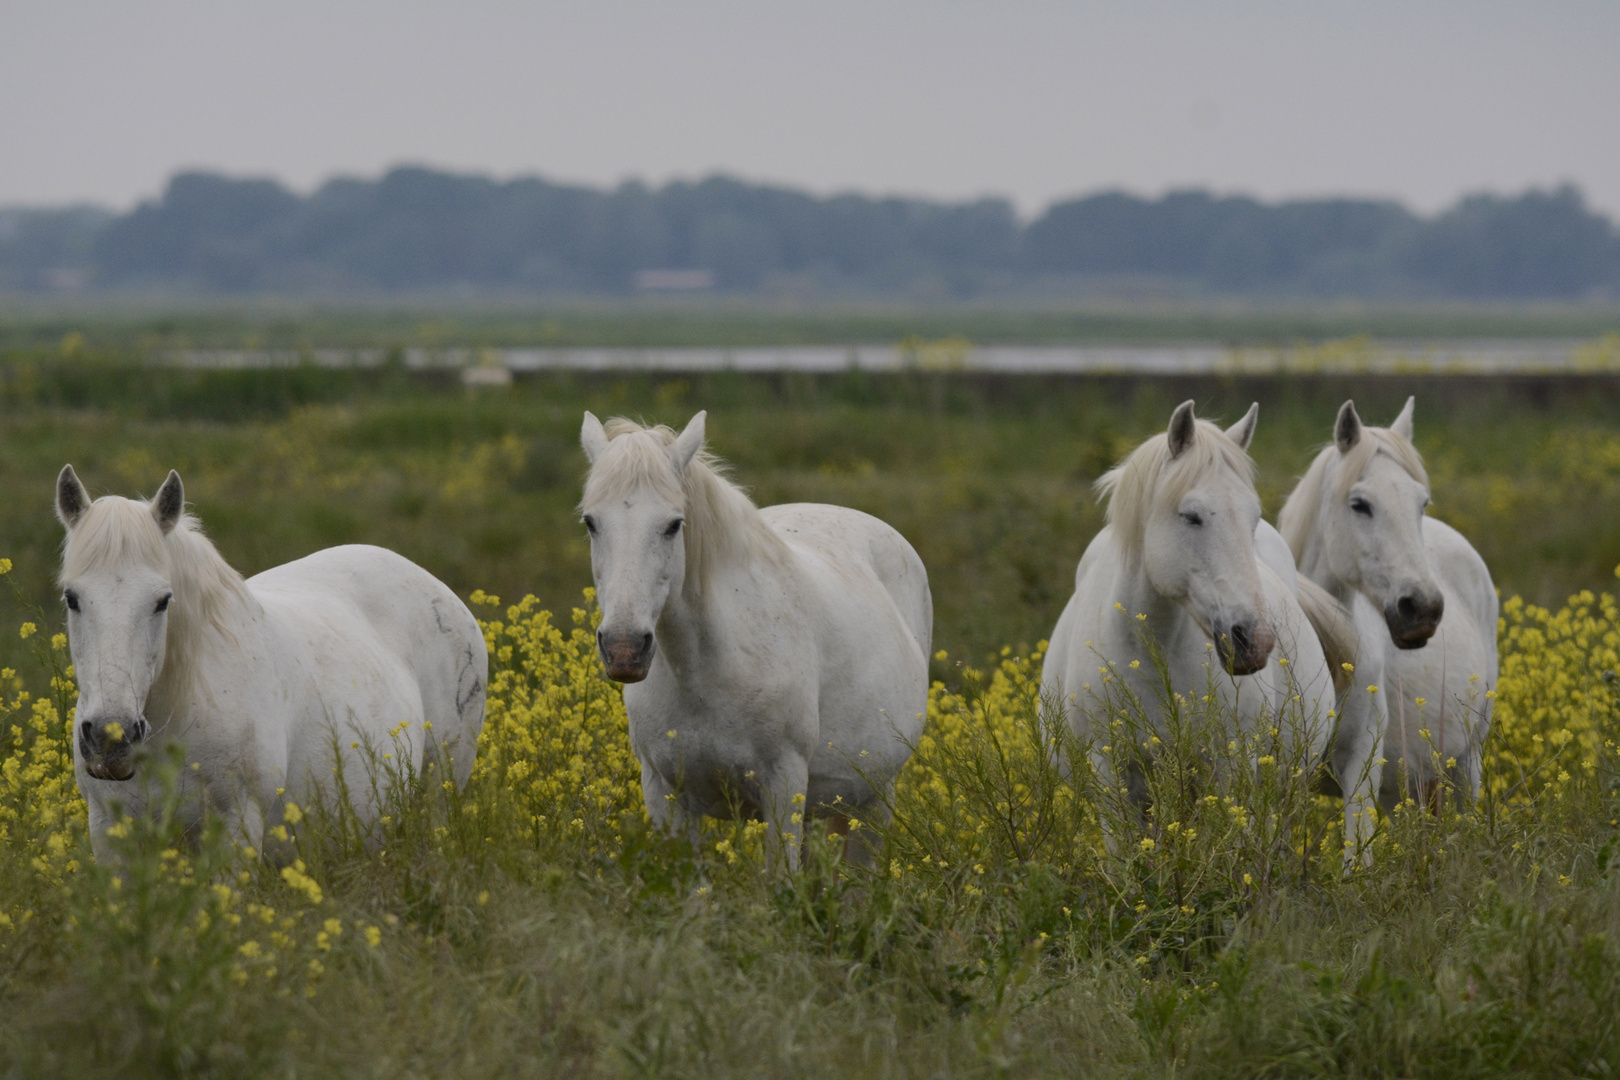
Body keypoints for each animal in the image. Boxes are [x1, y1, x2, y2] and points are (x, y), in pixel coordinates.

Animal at [58, 466, 486, 861]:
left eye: (162, 600)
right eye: (71, 598)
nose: (111, 739)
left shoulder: (238, 825)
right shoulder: (110, 832)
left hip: (437, 799)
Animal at [576, 408, 933, 867]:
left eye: (673, 525)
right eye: (591, 522)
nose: (624, 649)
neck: (705, 671)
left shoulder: (783, 785)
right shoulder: (663, 792)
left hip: (875, 798)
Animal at [1043, 403, 1334, 835]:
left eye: (1252, 517)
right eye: (1191, 517)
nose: (1255, 640)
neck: (1151, 653)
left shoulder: (1229, 770)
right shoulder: (1110, 779)